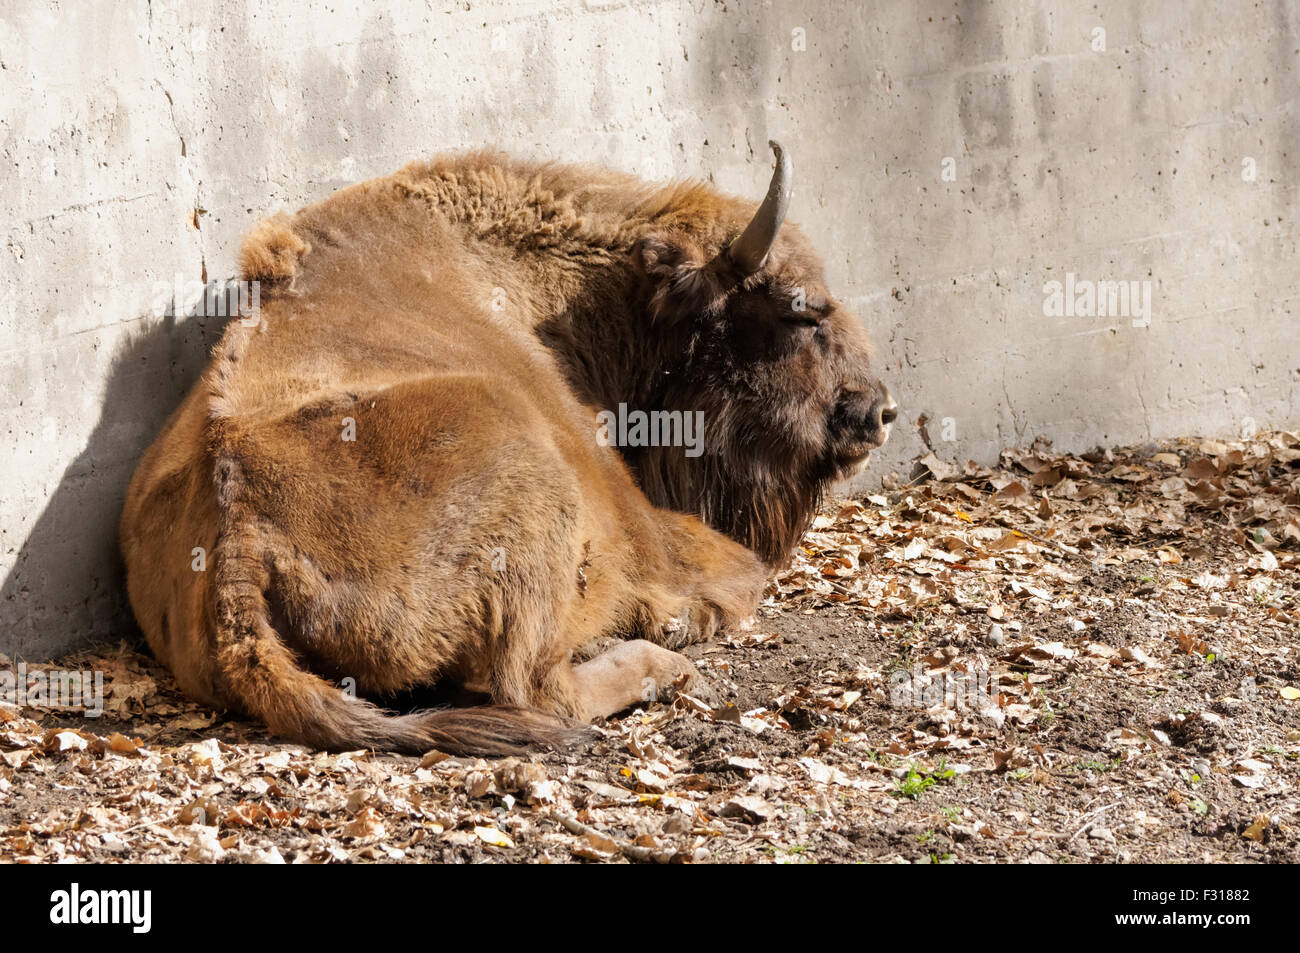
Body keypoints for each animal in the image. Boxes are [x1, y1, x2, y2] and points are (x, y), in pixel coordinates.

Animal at [119, 142, 896, 754]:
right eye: (802, 311)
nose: (879, 412)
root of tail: (238, 529)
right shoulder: (639, 521)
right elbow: (742, 573)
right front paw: (684, 619)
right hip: (529, 476)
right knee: (535, 688)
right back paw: (663, 662)